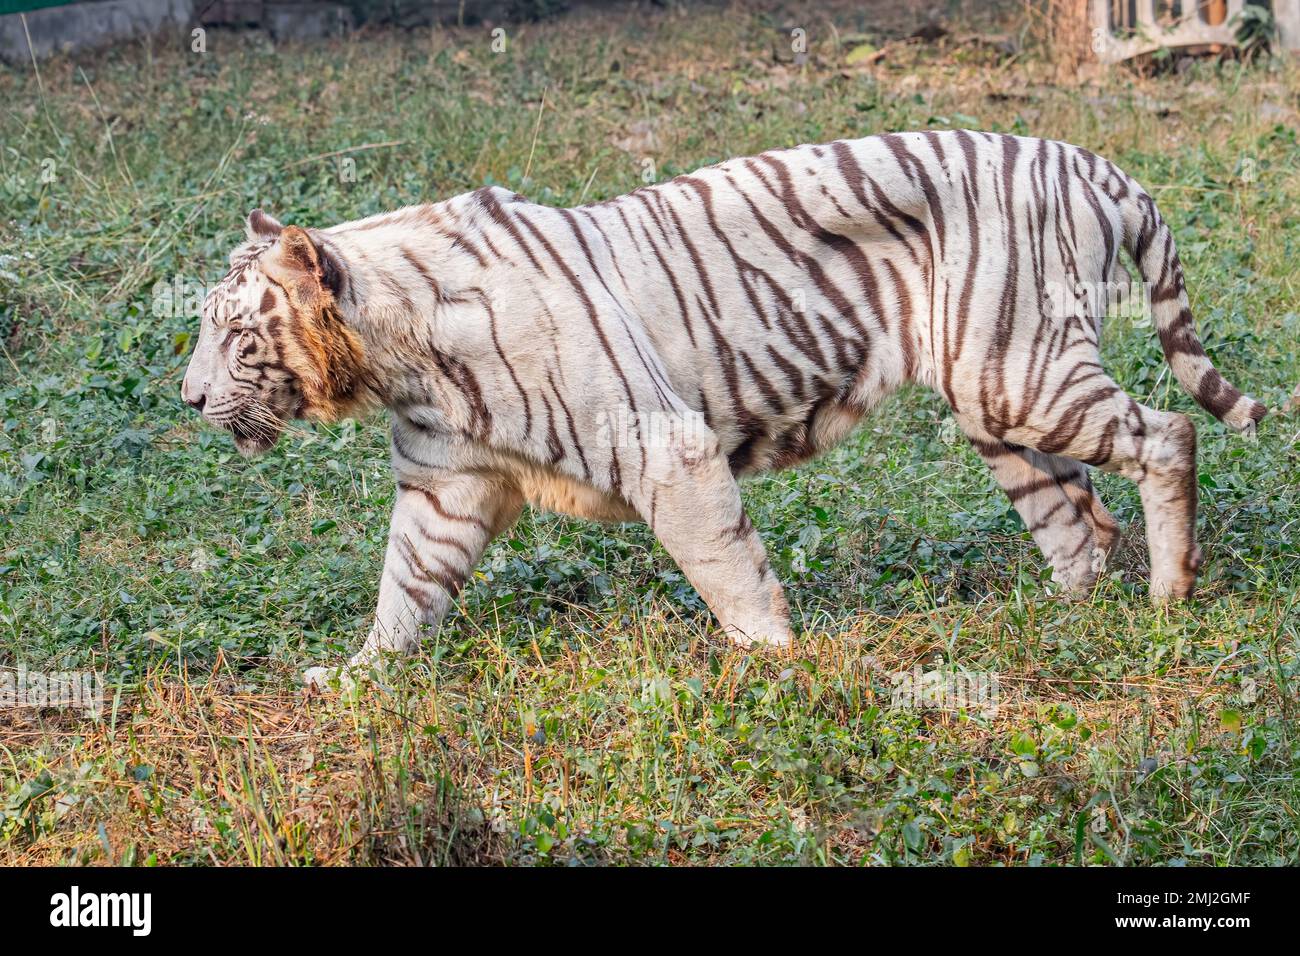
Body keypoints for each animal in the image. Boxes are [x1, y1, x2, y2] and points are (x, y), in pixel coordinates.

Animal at [180, 131, 1267, 690]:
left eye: (233, 332)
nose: (188, 397)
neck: (401, 357)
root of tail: (1089, 161)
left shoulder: (666, 446)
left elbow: (724, 564)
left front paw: (771, 660)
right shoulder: (446, 483)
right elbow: (405, 586)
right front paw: (358, 676)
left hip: (1021, 370)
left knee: (1168, 432)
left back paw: (1169, 592)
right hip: (994, 398)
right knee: (1074, 517)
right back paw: (1061, 620)